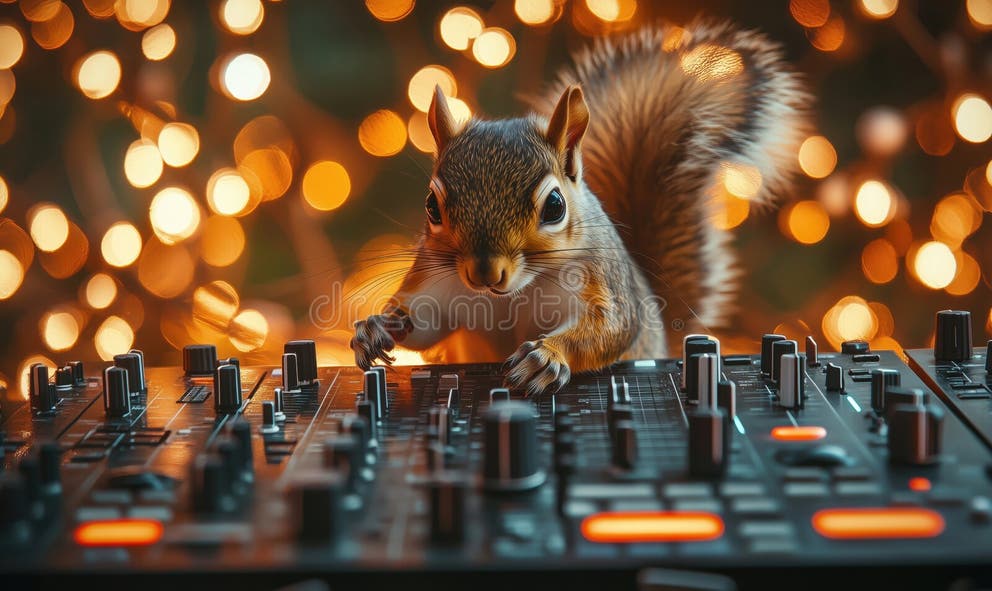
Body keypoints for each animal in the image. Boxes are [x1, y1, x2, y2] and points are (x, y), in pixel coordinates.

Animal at [351, 20, 808, 395]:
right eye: (432, 206)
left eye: (554, 206)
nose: (484, 273)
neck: (516, 292)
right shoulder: (440, 284)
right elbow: (427, 326)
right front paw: (377, 327)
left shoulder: (602, 284)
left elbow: (610, 329)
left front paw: (546, 357)